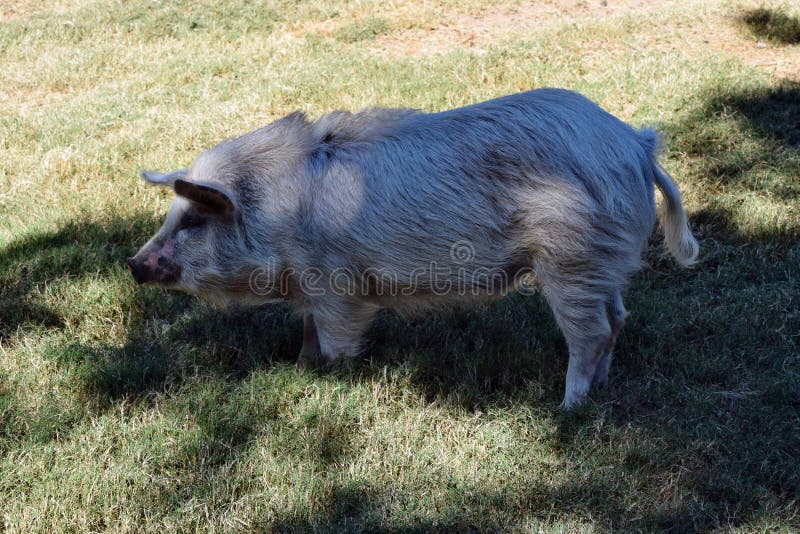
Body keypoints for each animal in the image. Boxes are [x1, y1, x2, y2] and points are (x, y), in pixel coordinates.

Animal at [127, 88, 699, 408]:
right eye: (171, 214)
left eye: (195, 218)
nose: (134, 263)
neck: (276, 212)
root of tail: (636, 145)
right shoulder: (310, 288)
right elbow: (307, 330)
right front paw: (300, 365)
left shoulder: (337, 284)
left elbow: (337, 338)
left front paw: (332, 376)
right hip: (604, 261)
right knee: (619, 318)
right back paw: (599, 390)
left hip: (569, 257)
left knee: (592, 332)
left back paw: (569, 407)